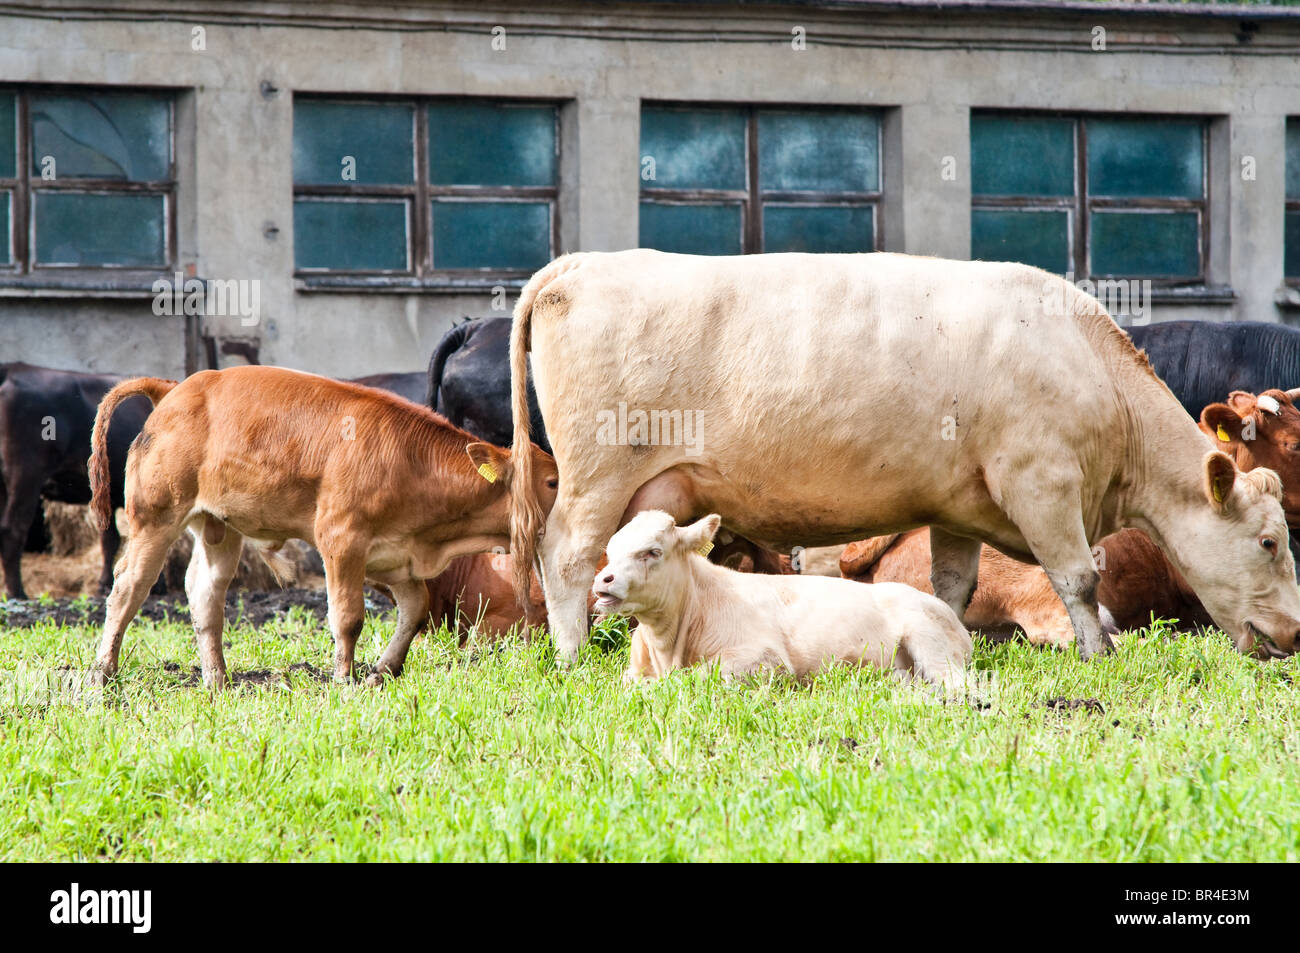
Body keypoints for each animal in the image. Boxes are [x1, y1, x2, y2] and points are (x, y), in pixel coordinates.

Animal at [0, 362, 152, 599]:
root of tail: (14, 368)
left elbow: (110, 539)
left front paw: (104, 584)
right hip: (25, 476)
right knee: (12, 530)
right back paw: (16, 591)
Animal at [87, 365, 559, 688]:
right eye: (552, 481)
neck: (411, 462)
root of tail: (174, 388)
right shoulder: (342, 541)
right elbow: (348, 617)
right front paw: (344, 680)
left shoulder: (398, 557)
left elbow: (414, 612)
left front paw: (383, 671)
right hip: (155, 517)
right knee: (127, 588)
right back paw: (101, 674)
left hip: (218, 527)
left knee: (205, 594)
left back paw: (217, 680)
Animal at [594, 511, 972, 688]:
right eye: (610, 553)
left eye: (652, 552)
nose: (602, 580)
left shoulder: (764, 661)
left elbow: (693, 676)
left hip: (933, 645)